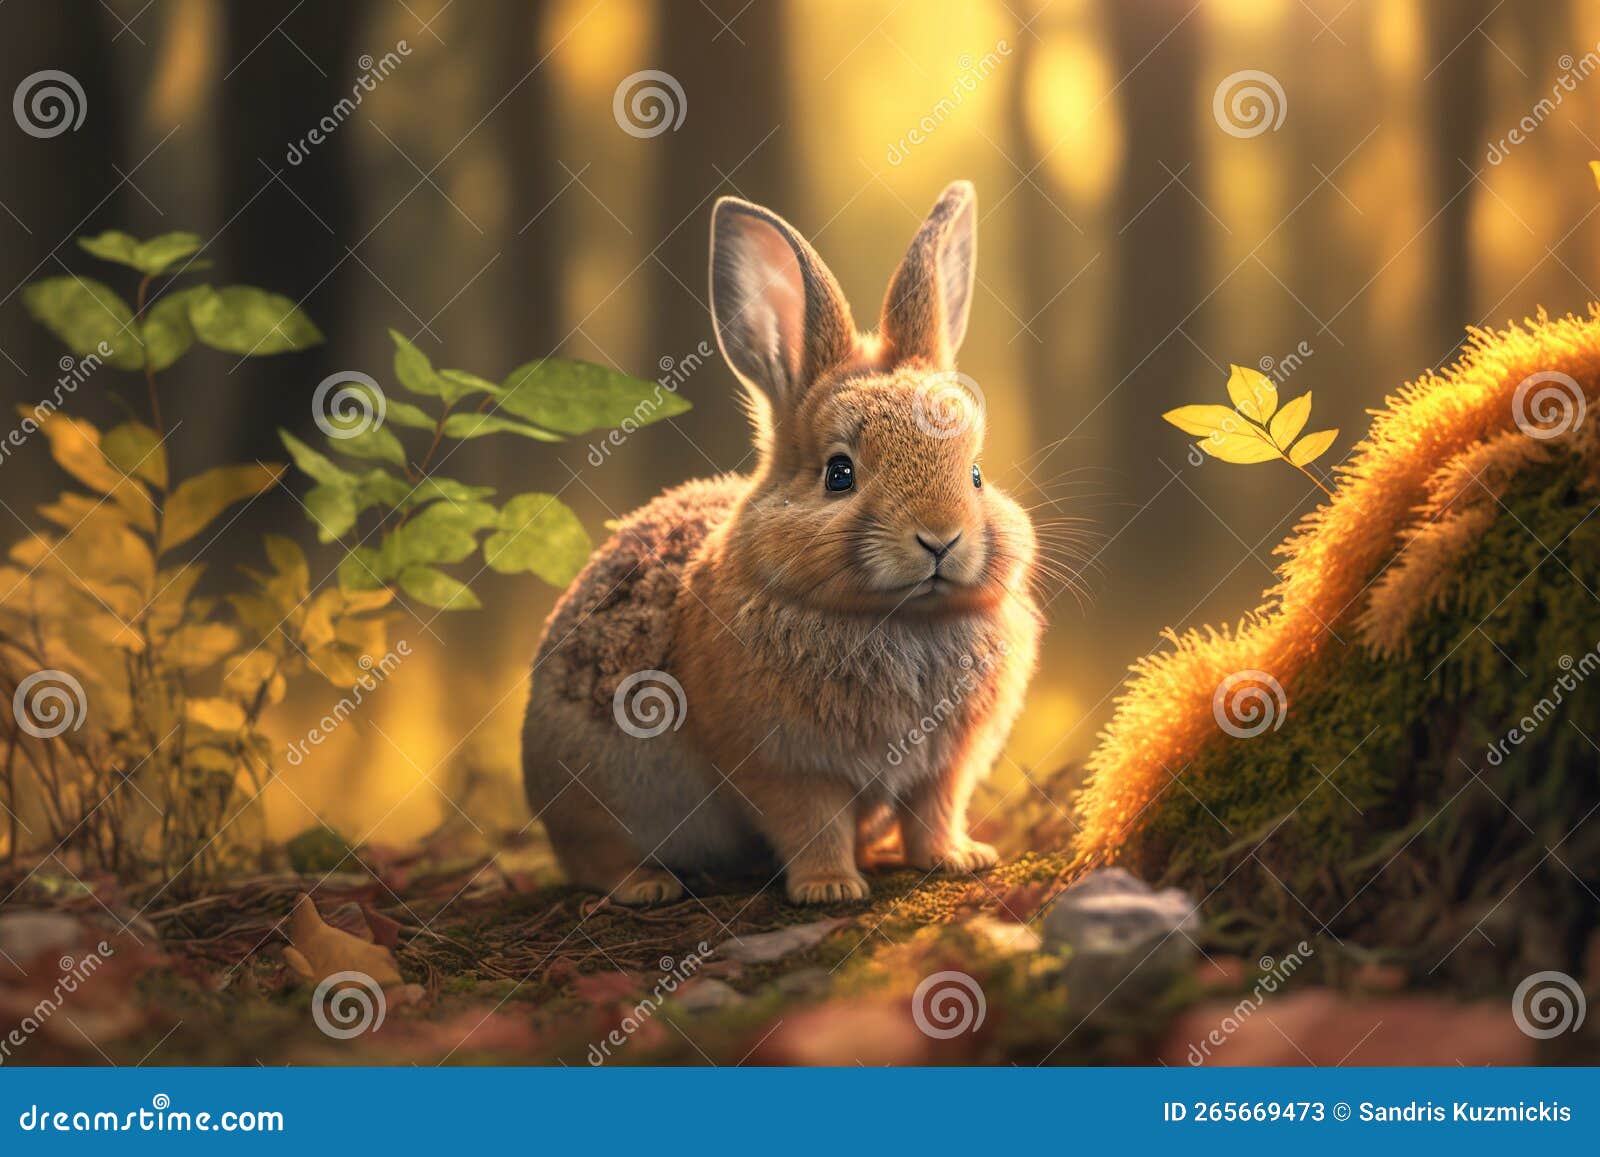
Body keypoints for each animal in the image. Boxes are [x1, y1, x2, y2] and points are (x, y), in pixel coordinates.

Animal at [522, 180, 1041, 905]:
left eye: (975, 473)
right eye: (839, 473)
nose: (941, 537)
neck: (903, 618)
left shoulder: (943, 767)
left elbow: (932, 813)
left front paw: (958, 859)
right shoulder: (784, 767)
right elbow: (811, 823)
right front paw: (830, 888)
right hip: (593, 796)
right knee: (592, 857)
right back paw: (647, 885)